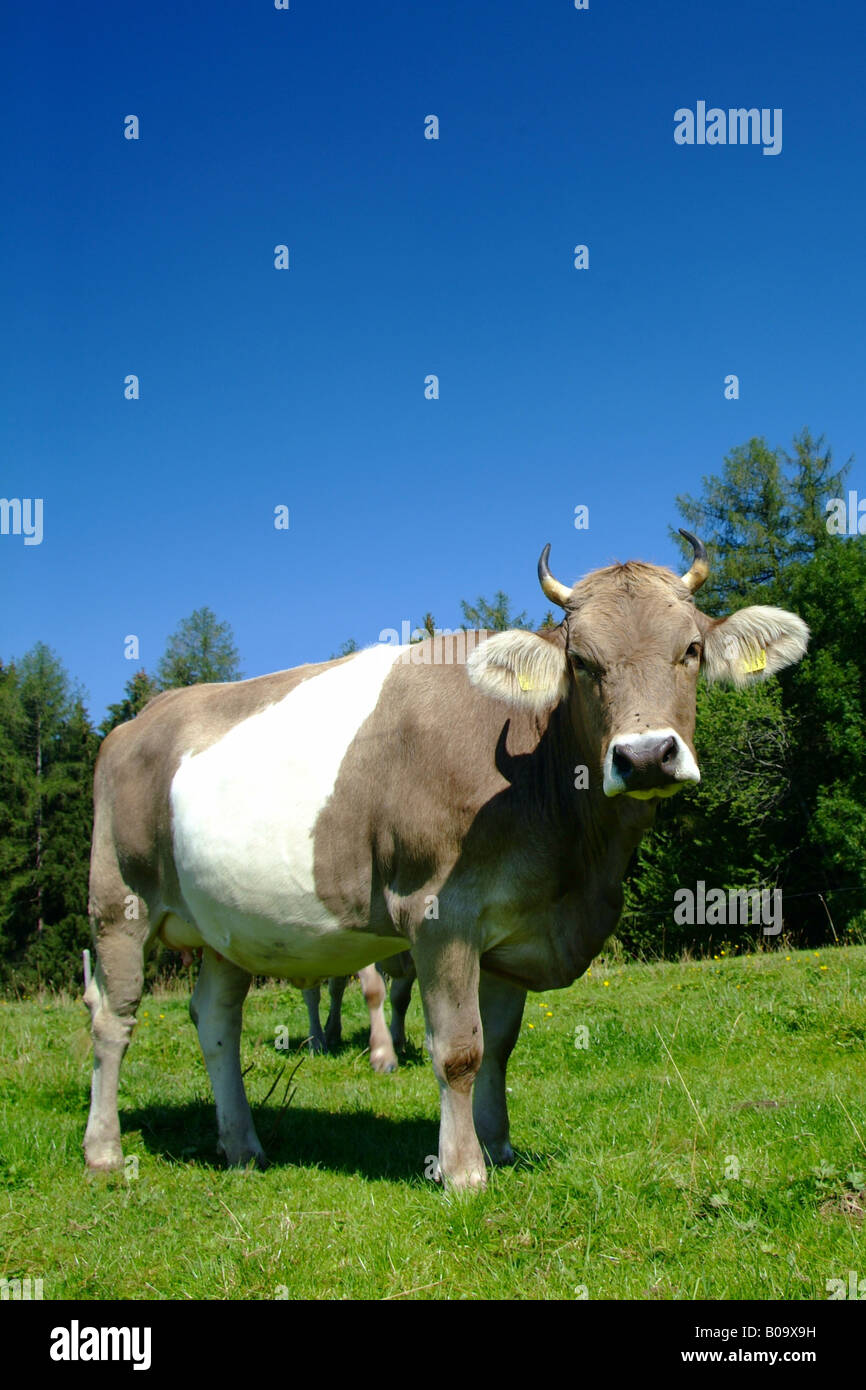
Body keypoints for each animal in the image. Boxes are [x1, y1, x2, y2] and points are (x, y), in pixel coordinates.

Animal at [83, 532, 809, 1189]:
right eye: (581, 662)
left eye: (690, 650)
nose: (646, 755)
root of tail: (140, 718)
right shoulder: (439, 912)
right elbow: (459, 1048)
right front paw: (463, 1170)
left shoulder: (516, 932)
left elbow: (501, 1047)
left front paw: (499, 1145)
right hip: (118, 903)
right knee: (113, 1020)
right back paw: (105, 1152)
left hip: (225, 929)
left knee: (215, 1023)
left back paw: (241, 1147)